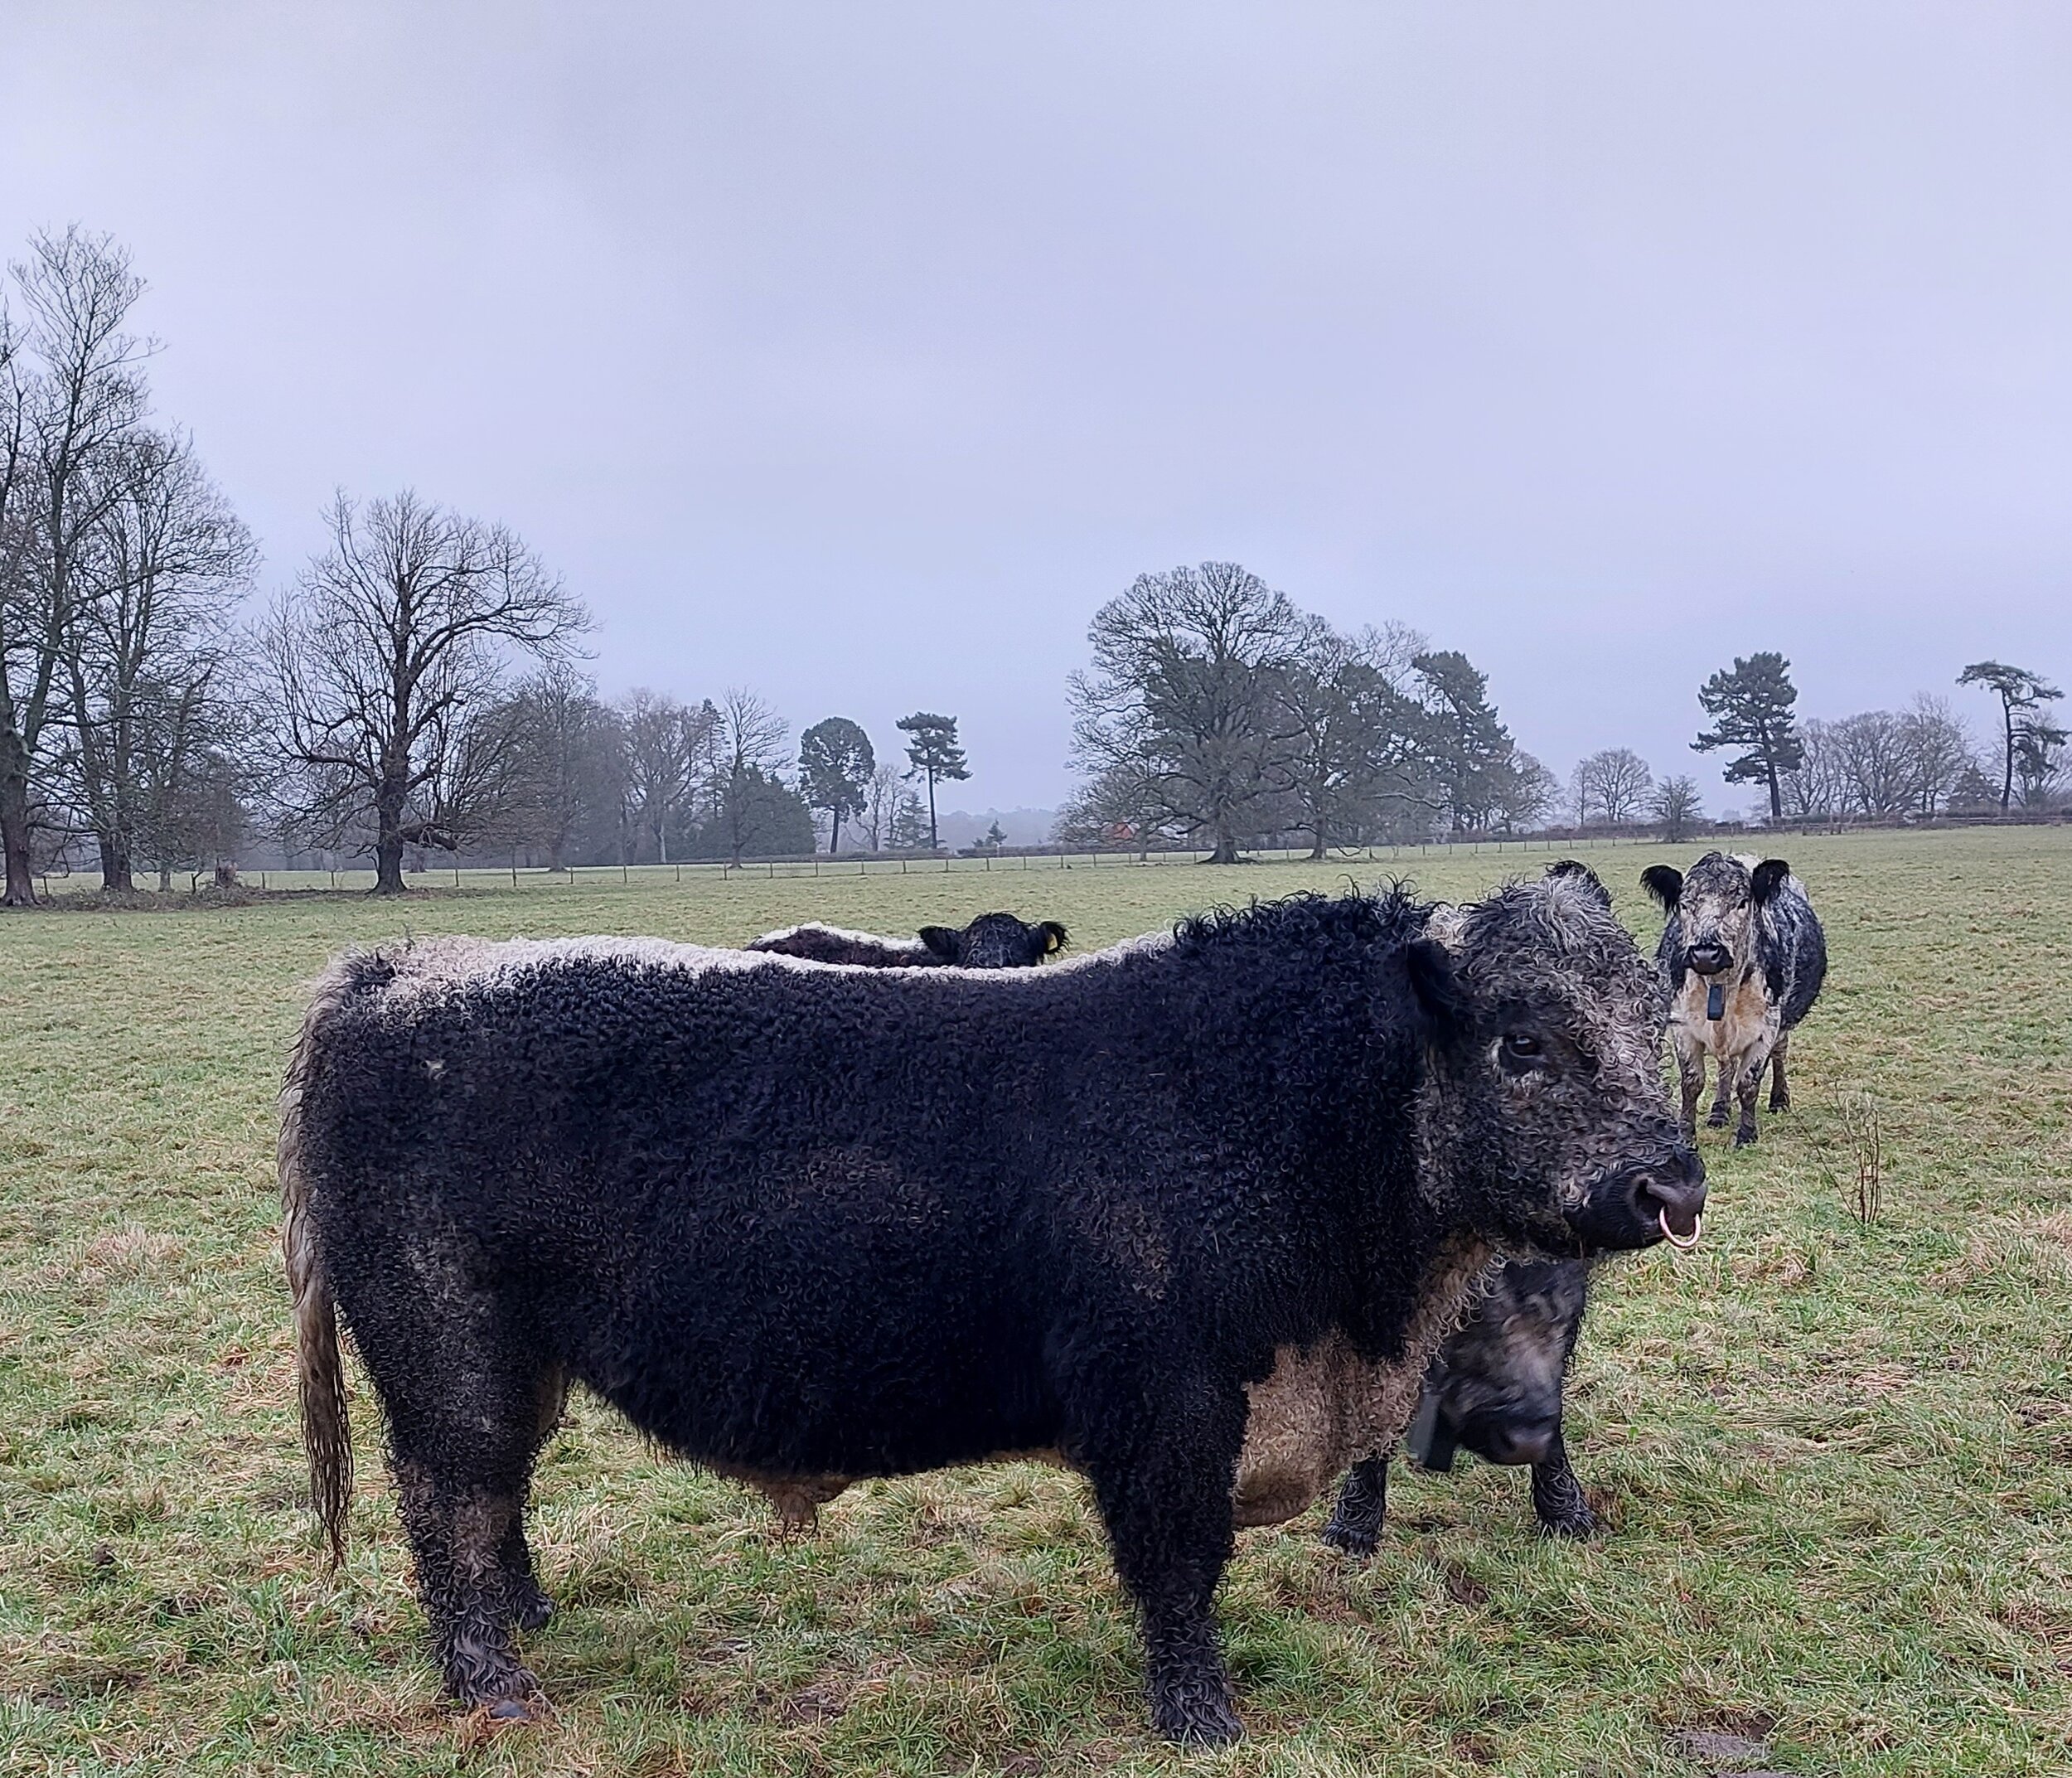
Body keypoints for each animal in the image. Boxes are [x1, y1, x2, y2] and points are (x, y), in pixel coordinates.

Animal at [1641, 852, 1827, 1146]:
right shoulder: (1682, 1026)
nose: (1706, 954)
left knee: (1779, 1053)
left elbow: (1749, 1084)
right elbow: (1692, 1082)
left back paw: (1779, 1099)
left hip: (1783, 1024)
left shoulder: (1766, 1028)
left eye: (1741, 903)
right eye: (1685, 904)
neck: (1721, 985)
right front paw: (1686, 1134)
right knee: (1726, 1065)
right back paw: (1720, 1110)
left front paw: (1747, 1135)